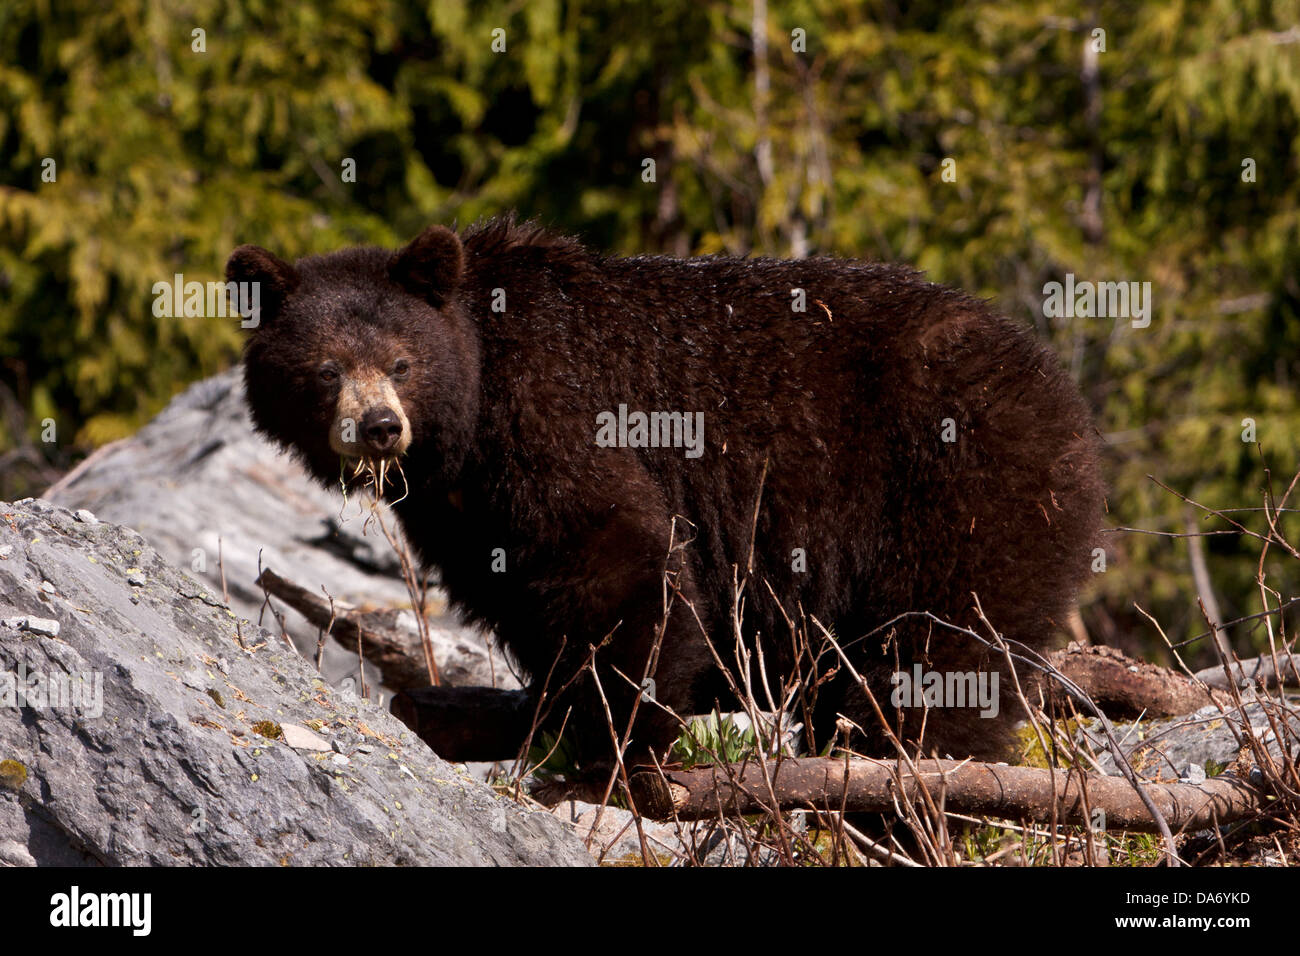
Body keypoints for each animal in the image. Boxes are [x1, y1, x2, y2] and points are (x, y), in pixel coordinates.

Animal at [228, 216, 1104, 768]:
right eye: (325, 369)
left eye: (401, 361)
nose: (379, 427)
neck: (471, 411)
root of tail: (1060, 391)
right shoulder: (463, 506)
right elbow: (515, 582)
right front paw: (546, 708)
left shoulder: (551, 415)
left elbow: (615, 552)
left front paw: (615, 732)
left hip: (955, 493)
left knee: (938, 654)